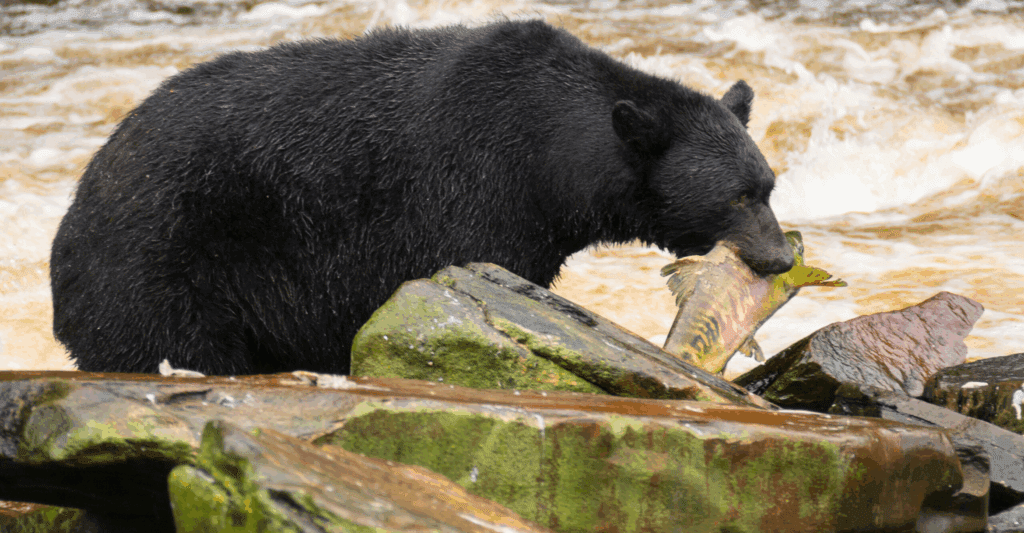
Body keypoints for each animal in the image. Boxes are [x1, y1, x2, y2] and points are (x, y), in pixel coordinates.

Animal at [50, 20, 794, 376]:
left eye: (768, 186)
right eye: (736, 199)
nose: (782, 257)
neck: (553, 157)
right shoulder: (474, 188)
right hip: (162, 261)